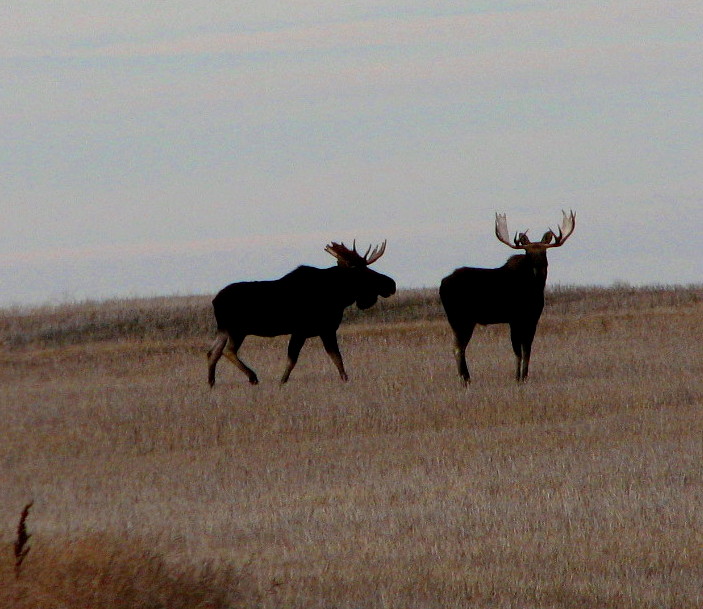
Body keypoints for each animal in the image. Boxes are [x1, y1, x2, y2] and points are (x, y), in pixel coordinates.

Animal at [207, 241, 395, 386]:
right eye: (363, 272)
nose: (391, 283)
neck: (337, 296)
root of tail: (215, 301)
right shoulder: (302, 330)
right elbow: (292, 359)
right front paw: (282, 382)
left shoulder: (326, 330)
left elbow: (337, 357)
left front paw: (345, 379)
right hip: (237, 330)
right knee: (227, 351)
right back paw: (252, 377)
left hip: (224, 330)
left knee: (213, 352)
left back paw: (211, 382)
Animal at [439, 210, 576, 384]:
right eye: (528, 253)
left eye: (543, 252)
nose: (538, 270)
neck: (535, 289)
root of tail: (442, 284)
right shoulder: (515, 318)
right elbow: (518, 350)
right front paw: (518, 377)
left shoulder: (531, 318)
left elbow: (526, 350)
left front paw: (523, 376)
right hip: (462, 319)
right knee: (458, 348)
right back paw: (466, 379)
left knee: (457, 347)